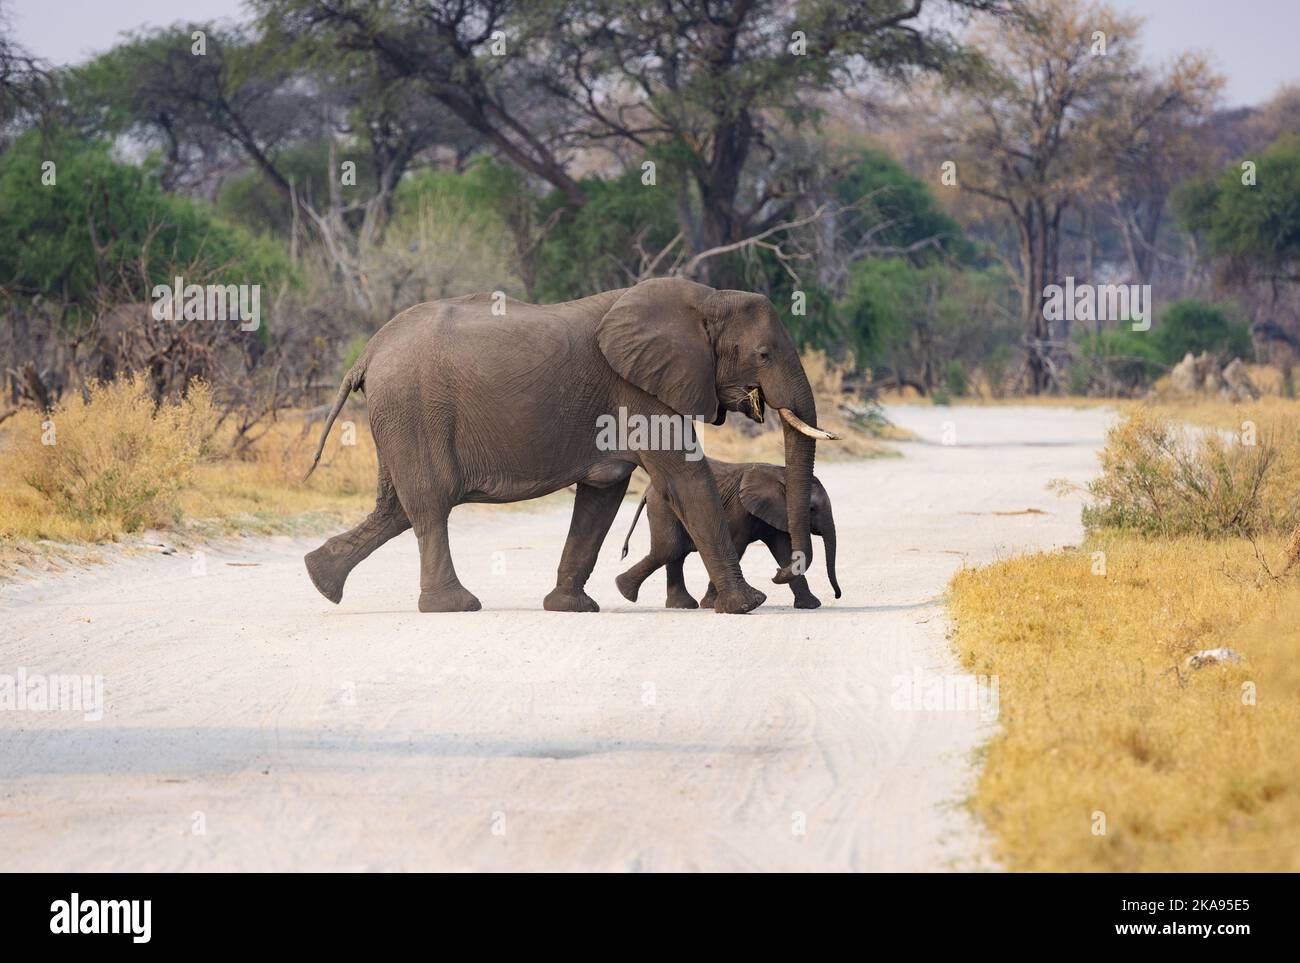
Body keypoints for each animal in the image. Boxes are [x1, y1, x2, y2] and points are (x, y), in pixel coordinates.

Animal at [616, 459, 841, 610]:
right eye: (812, 509)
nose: (775, 575)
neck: (782, 474)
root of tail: (647, 489)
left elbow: (783, 551)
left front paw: (811, 606)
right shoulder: (739, 509)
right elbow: (736, 545)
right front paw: (711, 605)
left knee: (675, 553)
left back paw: (682, 605)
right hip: (663, 508)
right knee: (669, 548)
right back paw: (624, 590)